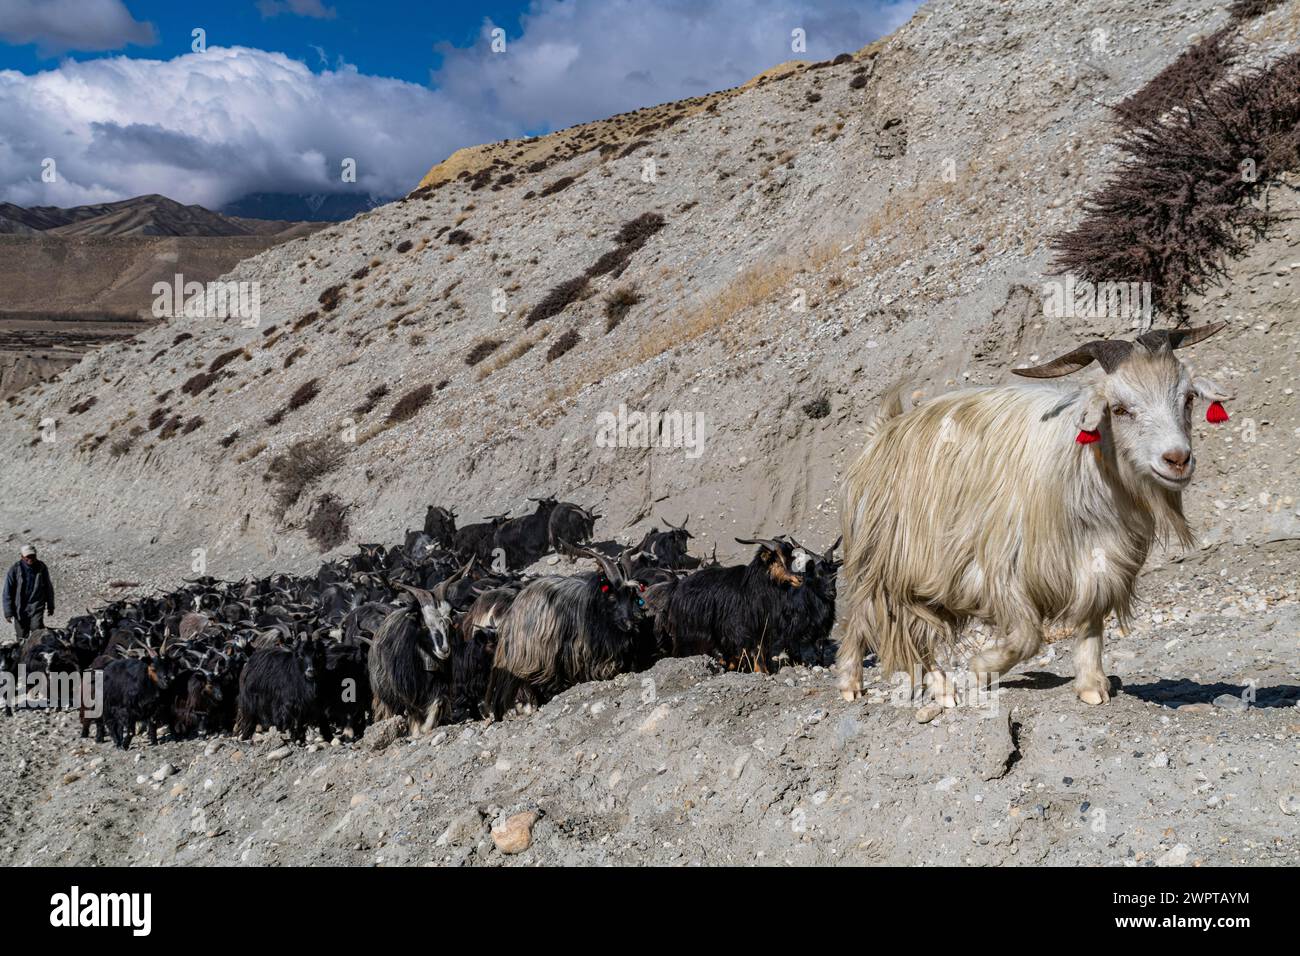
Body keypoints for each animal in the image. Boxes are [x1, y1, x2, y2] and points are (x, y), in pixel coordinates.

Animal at [837, 324, 1229, 709]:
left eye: (1187, 399)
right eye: (1119, 409)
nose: (1177, 459)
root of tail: (880, 433)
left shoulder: (1100, 562)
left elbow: (1090, 625)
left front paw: (1091, 685)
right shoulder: (1000, 568)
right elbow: (1028, 637)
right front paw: (982, 669)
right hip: (885, 562)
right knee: (872, 620)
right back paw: (866, 683)